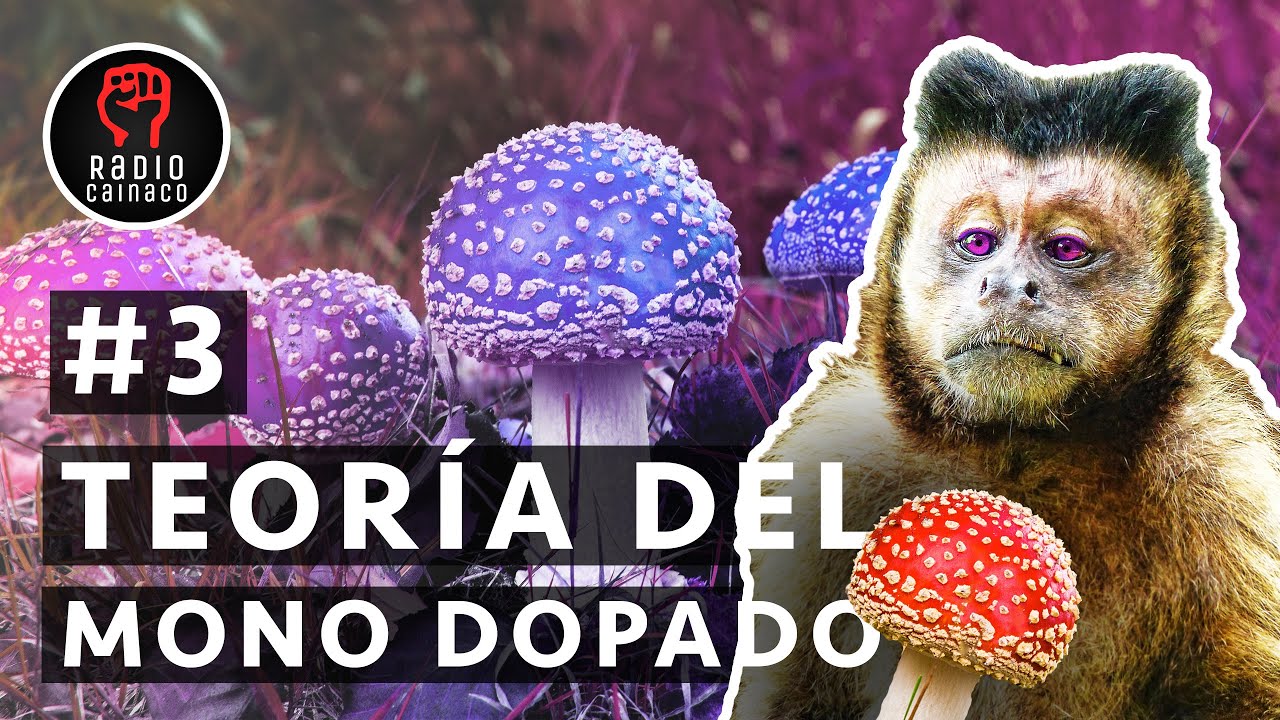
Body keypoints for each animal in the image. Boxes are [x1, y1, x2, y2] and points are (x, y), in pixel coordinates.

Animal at [730, 38, 1280, 720]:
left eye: (1066, 248)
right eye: (978, 242)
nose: (1007, 285)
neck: (1019, 448)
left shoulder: (1228, 479)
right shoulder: (826, 459)